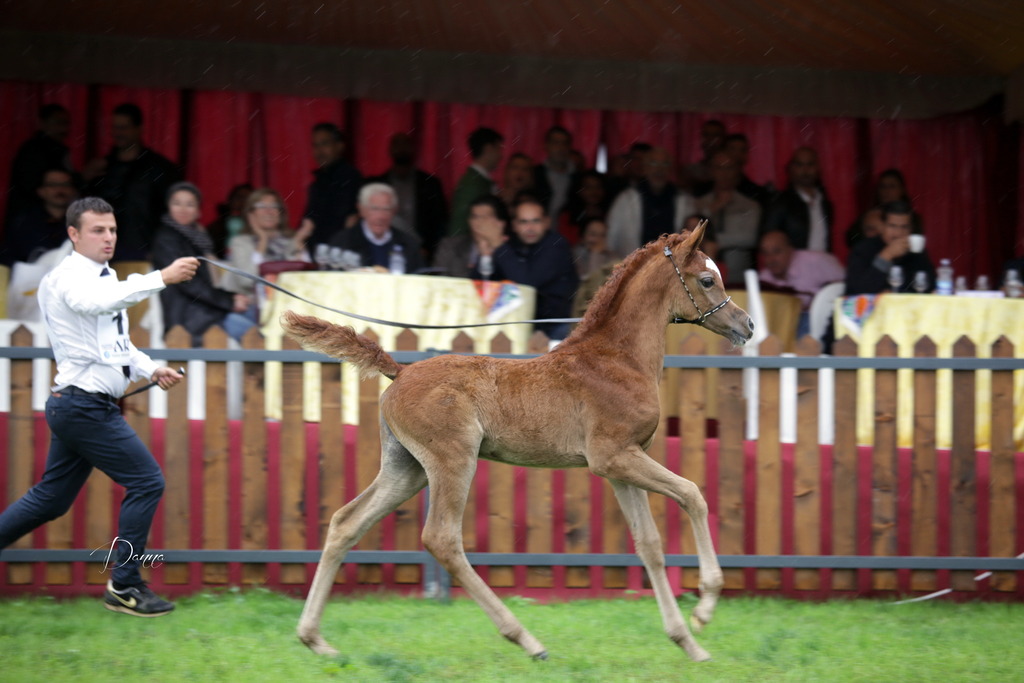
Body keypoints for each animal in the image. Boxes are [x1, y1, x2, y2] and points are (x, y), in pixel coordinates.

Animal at [281, 222, 753, 662]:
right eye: (707, 280)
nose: (746, 325)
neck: (616, 360)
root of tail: (400, 370)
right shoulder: (612, 457)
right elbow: (693, 494)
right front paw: (705, 608)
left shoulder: (623, 464)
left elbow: (650, 544)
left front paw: (687, 643)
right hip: (453, 460)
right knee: (442, 538)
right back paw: (527, 640)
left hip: (406, 468)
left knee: (347, 522)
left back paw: (314, 639)